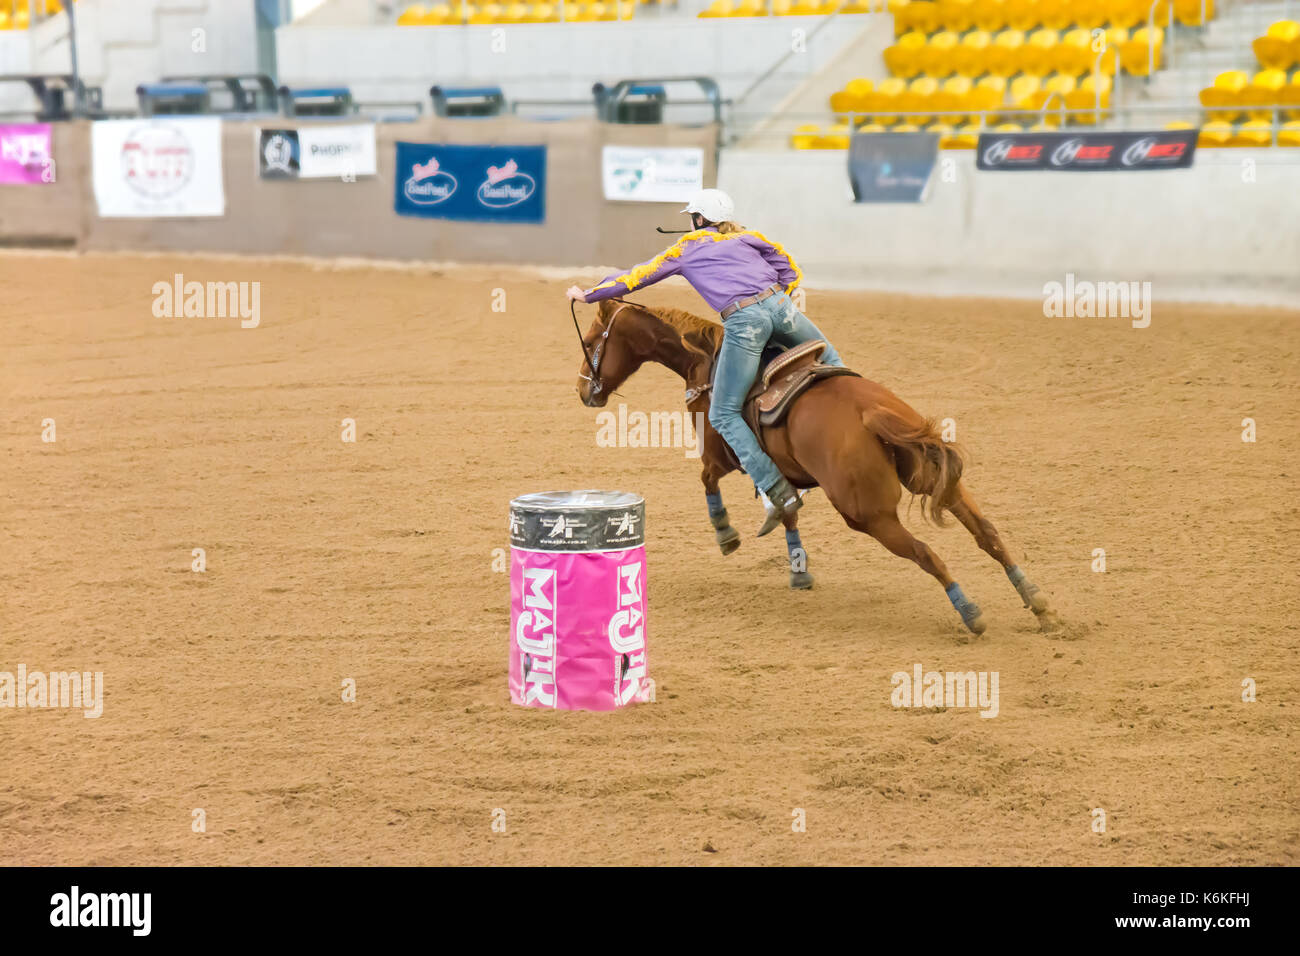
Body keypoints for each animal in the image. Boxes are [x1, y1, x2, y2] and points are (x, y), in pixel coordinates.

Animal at [573, 297, 1056, 636]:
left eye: (591, 340)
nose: (583, 391)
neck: (701, 359)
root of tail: (871, 411)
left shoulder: (721, 452)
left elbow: (709, 480)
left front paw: (726, 533)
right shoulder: (782, 472)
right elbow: (787, 508)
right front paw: (798, 568)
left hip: (868, 515)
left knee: (927, 553)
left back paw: (971, 612)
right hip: (936, 482)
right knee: (987, 533)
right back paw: (1038, 603)